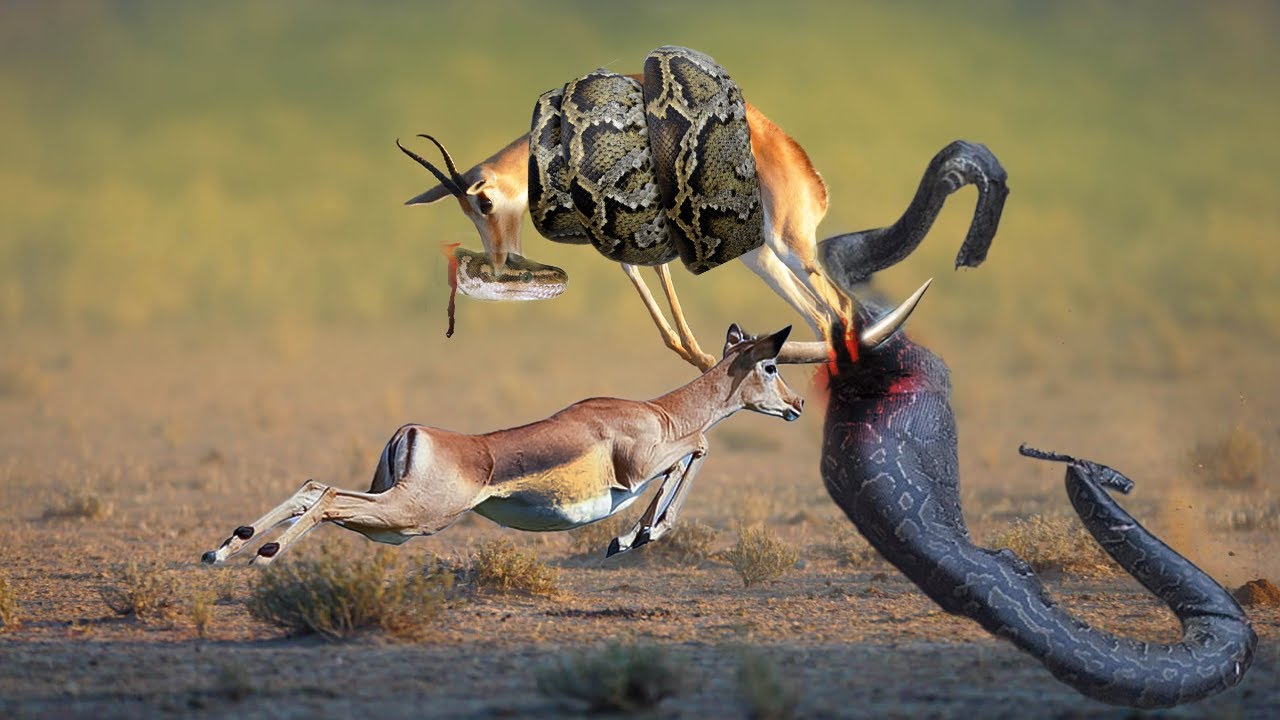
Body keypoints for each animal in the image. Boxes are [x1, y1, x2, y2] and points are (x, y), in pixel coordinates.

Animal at [203, 323, 815, 565]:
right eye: (770, 365)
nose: (797, 405)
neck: (658, 413)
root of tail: (412, 432)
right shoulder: (643, 464)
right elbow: (700, 446)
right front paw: (634, 536)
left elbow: (691, 454)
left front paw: (629, 537)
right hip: (411, 516)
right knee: (328, 496)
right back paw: (264, 553)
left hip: (392, 514)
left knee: (313, 487)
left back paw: (224, 549)